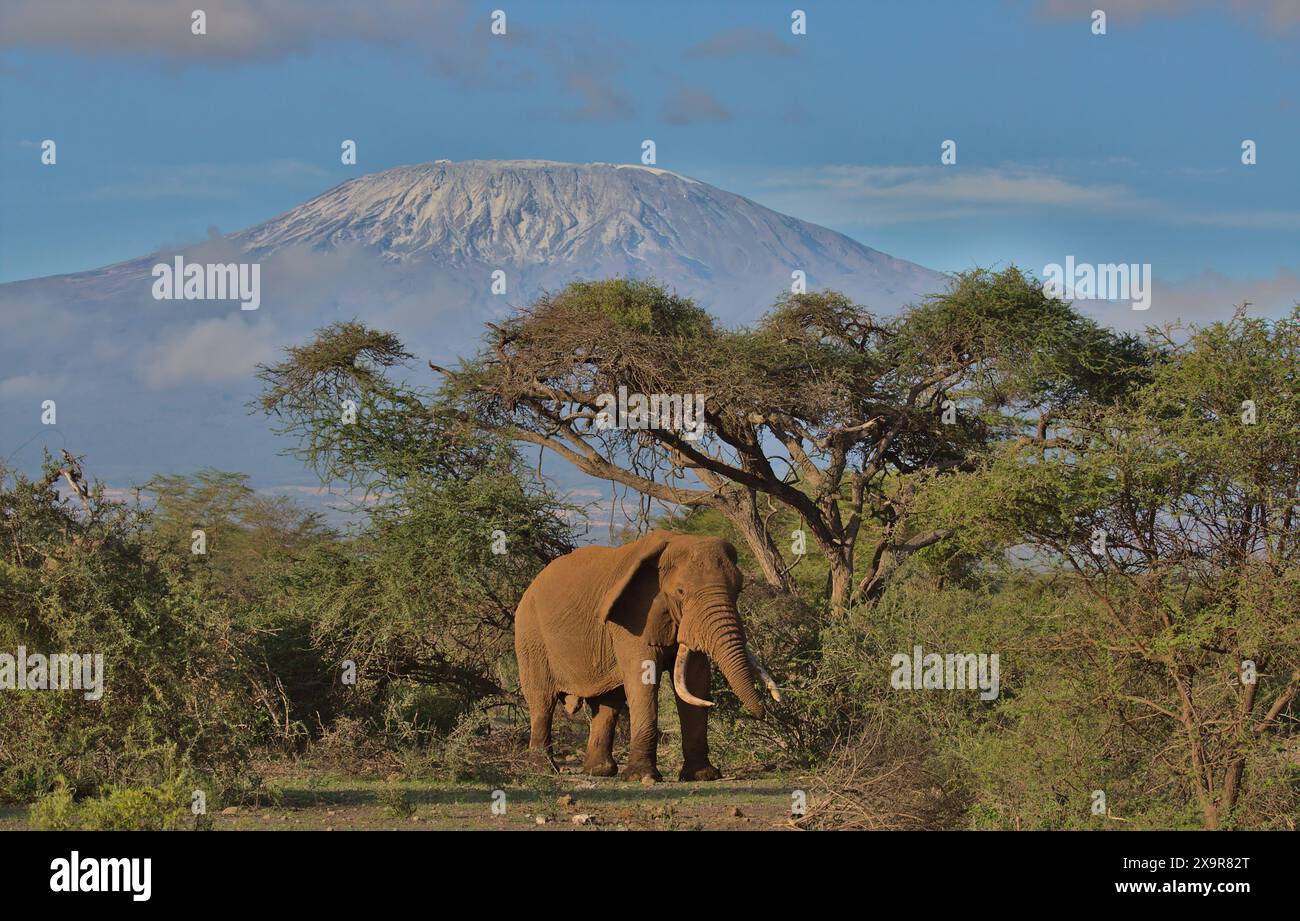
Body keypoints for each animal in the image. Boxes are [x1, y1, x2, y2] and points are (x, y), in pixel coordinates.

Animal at [514, 529, 780, 782]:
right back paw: (544, 769)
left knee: (608, 702)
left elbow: (696, 679)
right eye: (681, 592)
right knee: (542, 701)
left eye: (739, 590)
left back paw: (599, 771)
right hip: (530, 635)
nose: (764, 712)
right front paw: (642, 777)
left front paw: (702, 775)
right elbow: (643, 678)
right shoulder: (633, 617)